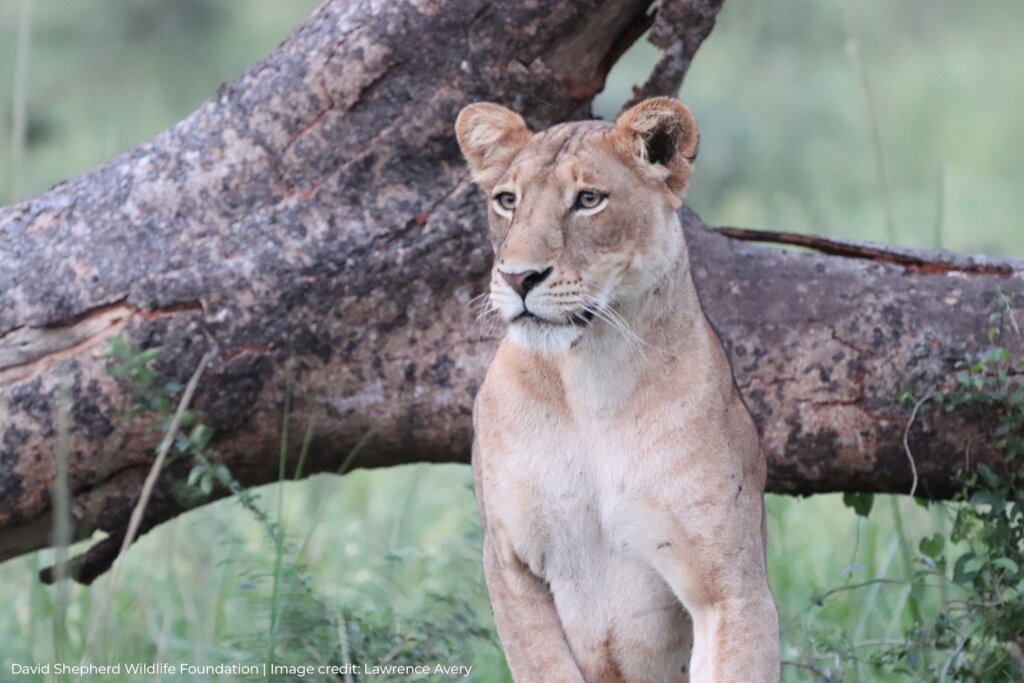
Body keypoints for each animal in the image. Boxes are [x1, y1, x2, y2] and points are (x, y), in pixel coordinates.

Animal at [455, 97, 780, 683]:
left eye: (588, 200)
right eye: (507, 200)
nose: (517, 278)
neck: (589, 380)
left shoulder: (732, 587)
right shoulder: (510, 563)